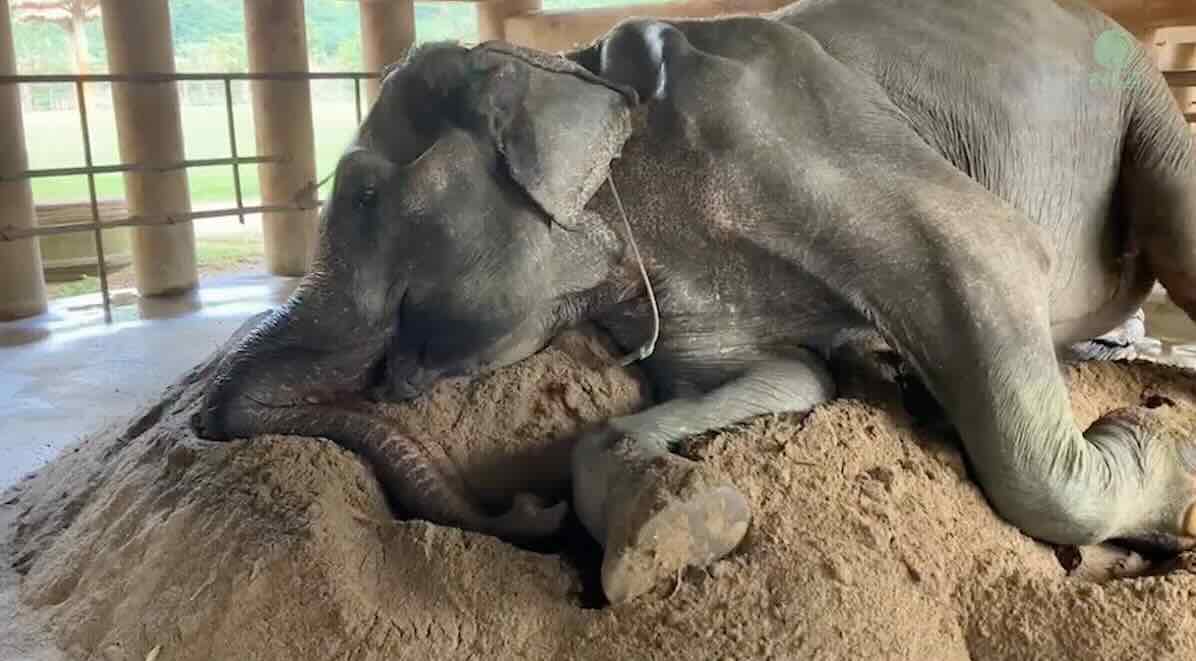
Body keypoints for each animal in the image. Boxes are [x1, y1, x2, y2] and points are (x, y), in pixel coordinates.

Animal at [195, 0, 1196, 604]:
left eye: (364, 196)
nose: (527, 510)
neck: (576, 71)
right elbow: (792, 376)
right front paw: (673, 531)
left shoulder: (800, 132)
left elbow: (990, 253)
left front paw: (1164, 460)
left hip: (1145, 104)